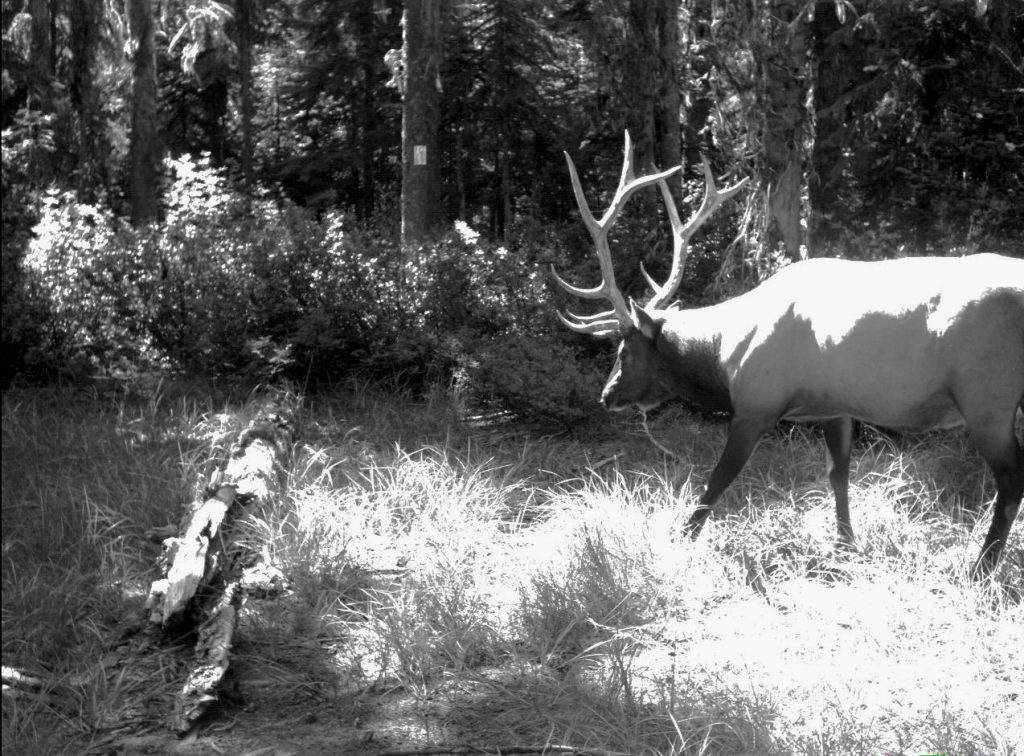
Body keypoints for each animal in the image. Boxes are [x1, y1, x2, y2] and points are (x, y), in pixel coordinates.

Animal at [553, 132, 1024, 579]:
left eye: (624, 349)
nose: (607, 395)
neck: (724, 353)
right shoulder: (835, 406)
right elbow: (838, 474)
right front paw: (846, 545)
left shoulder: (756, 403)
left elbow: (718, 479)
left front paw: (679, 541)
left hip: (987, 395)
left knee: (1011, 481)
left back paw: (980, 569)